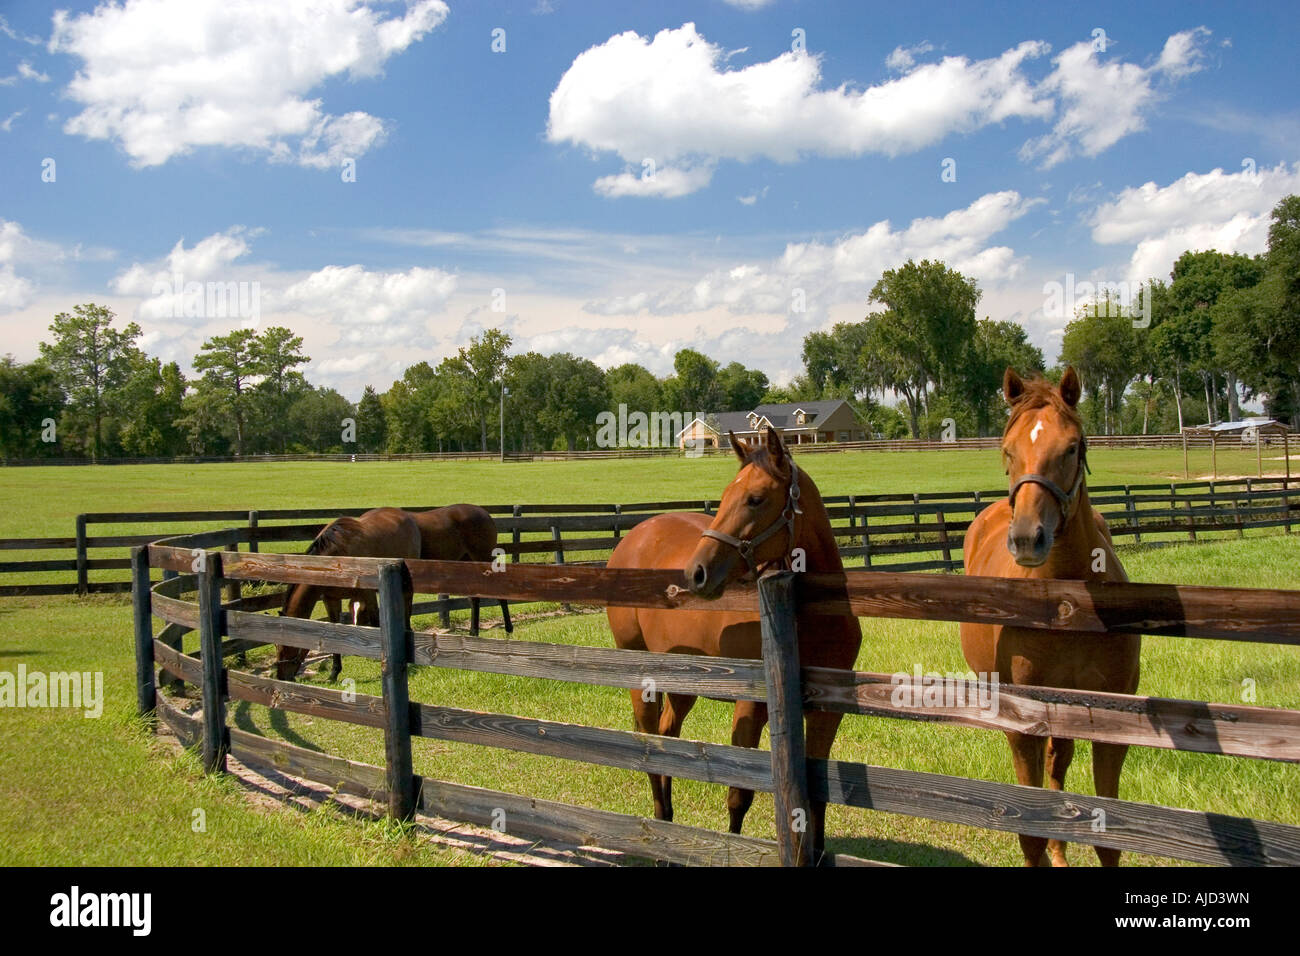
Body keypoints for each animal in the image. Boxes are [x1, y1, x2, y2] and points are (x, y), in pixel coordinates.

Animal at [274, 507, 421, 681]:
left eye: (288, 645)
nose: (281, 677)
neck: (336, 558)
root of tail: (404, 515)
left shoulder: (368, 594)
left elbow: (375, 622)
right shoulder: (331, 599)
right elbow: (333, 631)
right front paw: (334, 672)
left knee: (407, 608)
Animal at [606, 427, 861, 859]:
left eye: (755, 498)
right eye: (725, 496)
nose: (696, 573)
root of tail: (633, 538)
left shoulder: (828, 712)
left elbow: (817, 797)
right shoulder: (751, 705)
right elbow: (739, 795)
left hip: (683, 683)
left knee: (670, 736)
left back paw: (668, 821)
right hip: (641, 677)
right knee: (651, 745)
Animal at [960, 366, 1139, 867]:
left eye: (1072, 446)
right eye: (1007, 449)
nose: (1026, 539)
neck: (1066, 607)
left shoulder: (1112, 723)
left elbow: (1108, 836)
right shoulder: (1025, 727)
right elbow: (1030, 831)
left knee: (1061, 764)